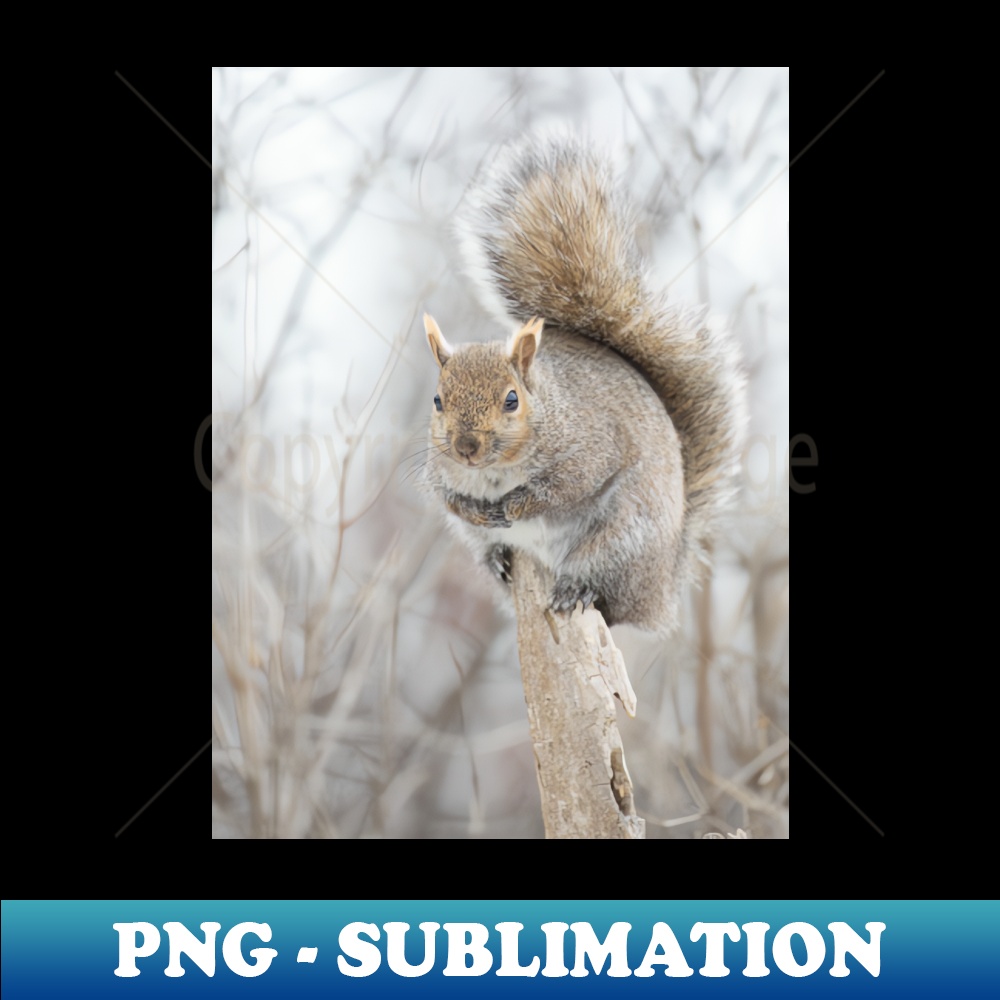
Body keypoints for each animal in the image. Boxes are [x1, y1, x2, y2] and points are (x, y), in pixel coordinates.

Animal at [420, 139, 745, 633]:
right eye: (438, 400)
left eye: (511, 399)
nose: (466, 448)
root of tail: (662, 591)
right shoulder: (440, 470)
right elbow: (450, 499)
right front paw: (479, 509)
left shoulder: (590, 448)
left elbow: (567, 486)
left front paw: (515, 505)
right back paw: (498, 558)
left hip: (624, 537)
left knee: (608, 596)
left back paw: (577, 588)